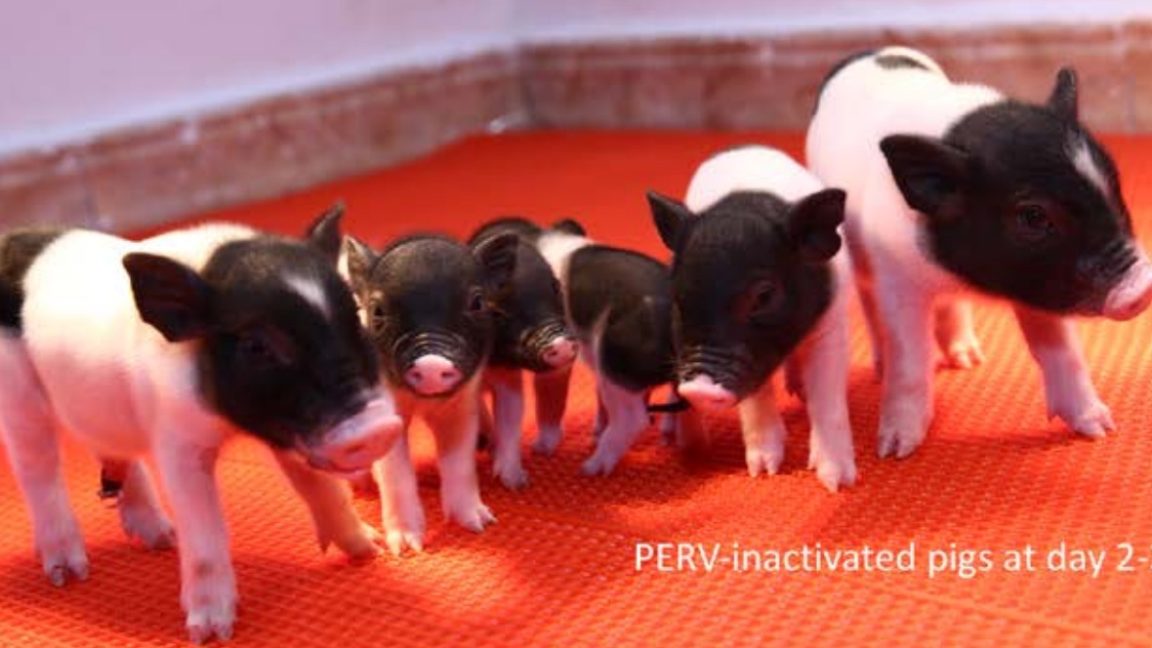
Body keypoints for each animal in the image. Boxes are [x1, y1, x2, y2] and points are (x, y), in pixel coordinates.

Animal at [0, 205, 403, 643]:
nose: (379, 427)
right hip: (18, 397)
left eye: (355, 317)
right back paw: (69, 574)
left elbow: (322, 488)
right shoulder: (177, 442)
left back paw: (161, 538)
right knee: (38, 469)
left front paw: (372, 550)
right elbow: (204, 528)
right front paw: (209, 633)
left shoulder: (286, 426)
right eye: (257, 345)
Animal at [344, 233, 517, 555]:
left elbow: (459, 461)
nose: (432, 362)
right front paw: (406, 548)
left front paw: (480, 524)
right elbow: (395, 471)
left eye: (477, 302)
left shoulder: (462, 405)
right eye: (378, 311)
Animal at [646, 145, 857, 491]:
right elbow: (756, 398)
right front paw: (764, 471)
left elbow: (828, 398)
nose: (699, 389)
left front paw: (837, 483)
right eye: (678, 297)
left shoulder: (831, 326)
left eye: (764, 296)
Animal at [806, 46, 1152, 458]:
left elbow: (1063, 351)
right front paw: (895, 450)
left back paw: (969, 359)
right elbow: (910, 359)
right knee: (871, 306)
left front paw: (1100, 428)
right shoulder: (897, 281)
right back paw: (881, 367)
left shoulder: (1040, 284)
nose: (1143, 287)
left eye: (1113, 184)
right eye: (1034, 216)